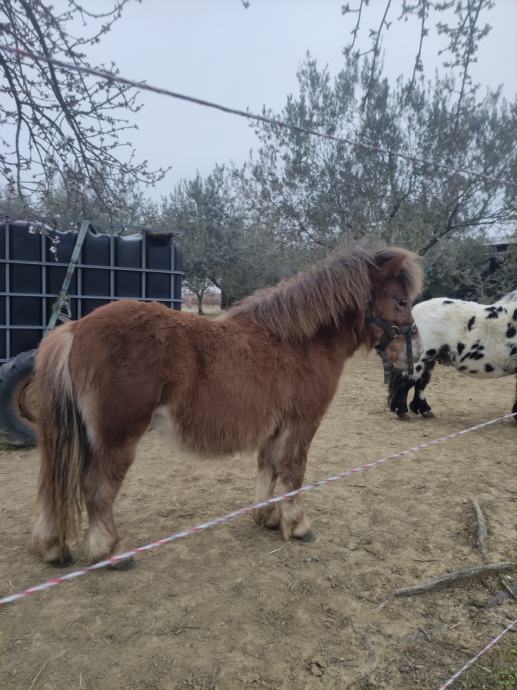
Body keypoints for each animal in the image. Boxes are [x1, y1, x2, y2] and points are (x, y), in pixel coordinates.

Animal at [31, 242, 422, 568]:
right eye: (401, 302)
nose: (416, 354)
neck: (301, 342)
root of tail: (74, 329)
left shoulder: (274, 427)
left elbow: (269, 468)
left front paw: (267, 517)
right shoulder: (301, 423)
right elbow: (293, 472)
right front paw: (298, 525)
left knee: (56, 486)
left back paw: (53, 547)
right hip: (117, 439)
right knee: (97, 489)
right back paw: (110, 552)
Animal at [388, 290, 517, 420]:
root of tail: (414, 311)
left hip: (428, 360)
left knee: (420, 382)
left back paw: (425, 410)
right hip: (420, 360)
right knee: (406, 381)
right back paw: (403, 411)